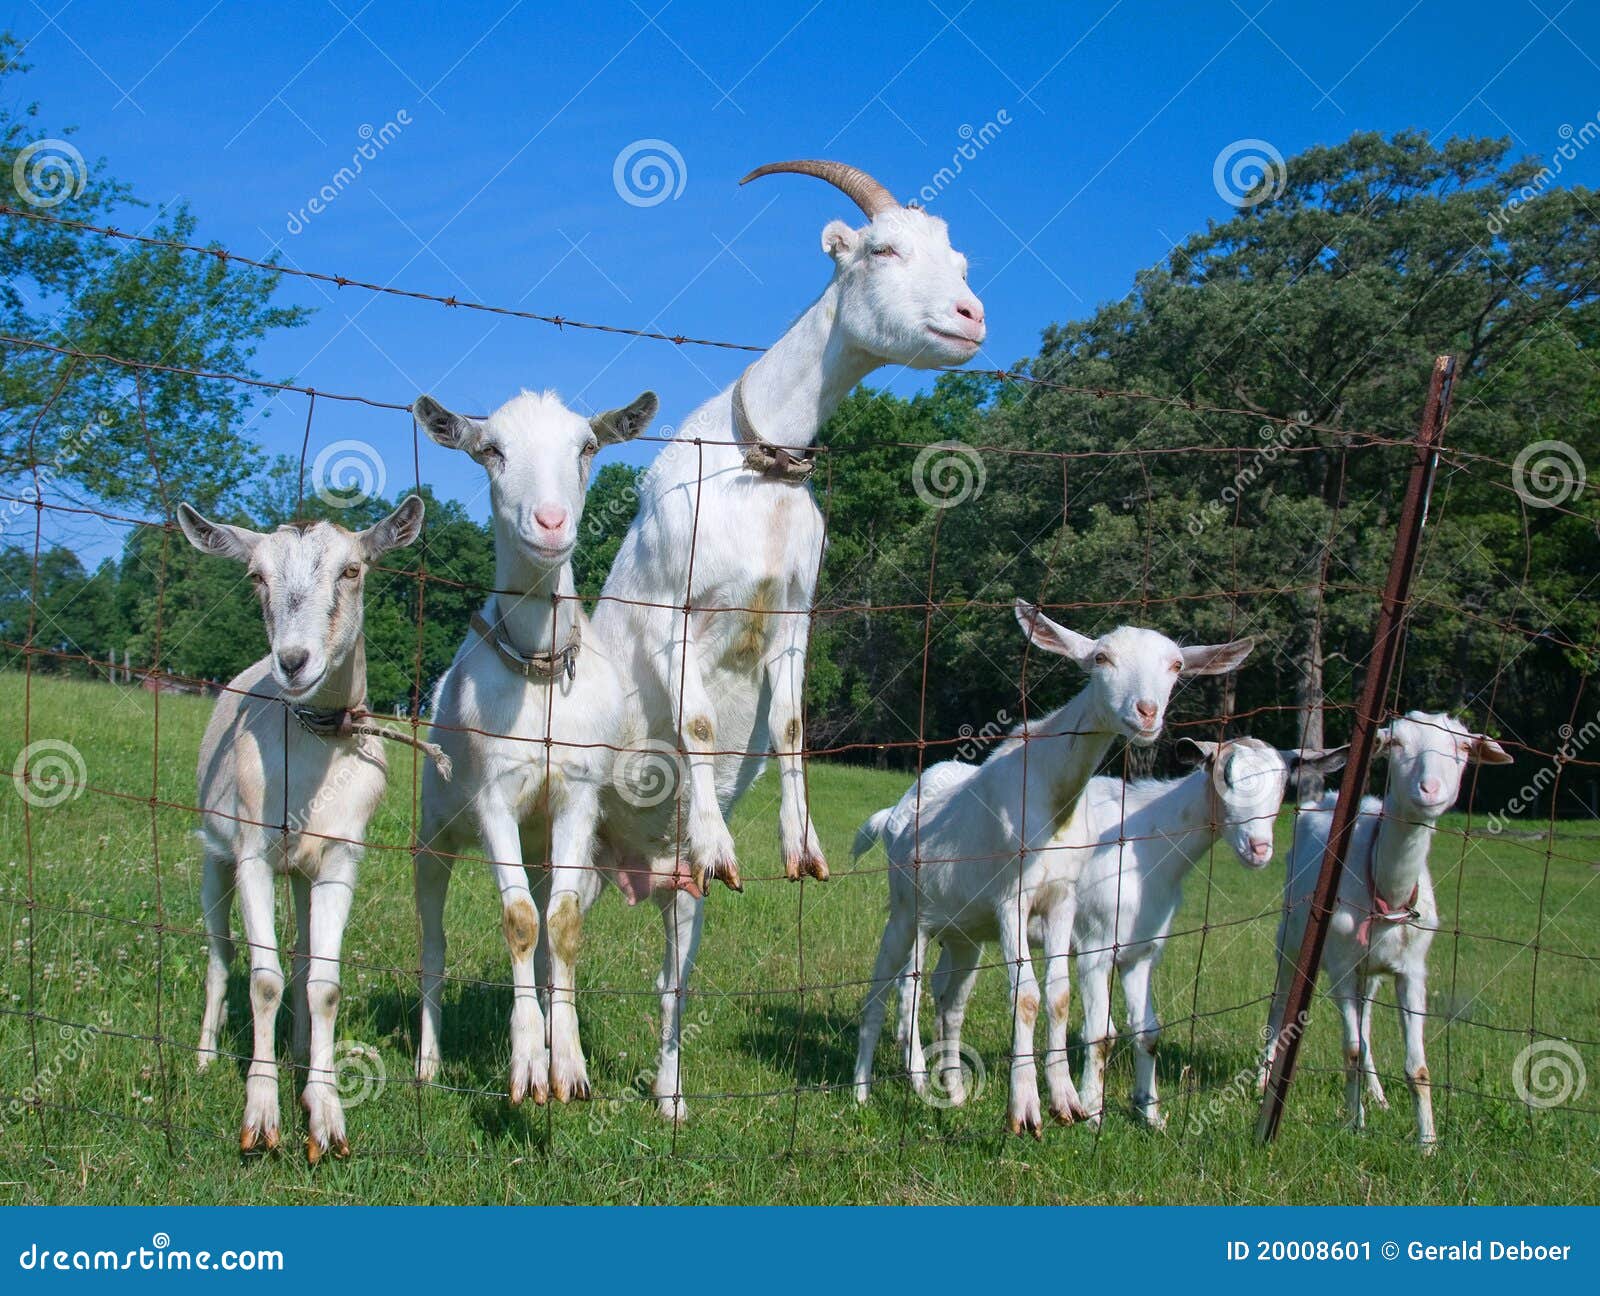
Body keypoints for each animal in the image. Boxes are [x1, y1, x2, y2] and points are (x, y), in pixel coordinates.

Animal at [183, 495, 427, 1161]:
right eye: (256, 577)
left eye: (353, 570)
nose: (293, 662)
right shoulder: (252, 852)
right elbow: (262, 980)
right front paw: (261, 1115)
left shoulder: (342, 857)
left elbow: (323, 983)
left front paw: (324, 1114)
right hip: (214, 856)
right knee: (221, 952)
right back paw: (206, 1056)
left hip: (301, 870)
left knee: (295, 954)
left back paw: (295, 1050)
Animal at [411, 388, 656, 1109]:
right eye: (489, 449)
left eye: (587, 447)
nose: (550, 522)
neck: (542, 672)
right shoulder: (494, 797)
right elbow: (519, 919)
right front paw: (526, 1063)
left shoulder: (576, 795)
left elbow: (562, 926)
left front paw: (567, 1063)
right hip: (434, 830)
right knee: (432, 942)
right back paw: (428, 1062)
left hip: (546, 842)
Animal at [850, 600, 1253, 1135]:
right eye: (1101, 657)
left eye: (1176, 665)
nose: (1147, 713)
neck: (1053, 794)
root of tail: (893, 815)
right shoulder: (1012, 901)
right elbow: (1025, 995)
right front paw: (1025, 1108)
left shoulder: (1063, 898)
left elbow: (1059, 994)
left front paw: (1067, 1100)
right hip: (906, 911)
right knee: (890, 991)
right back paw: (864, 1092)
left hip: (963, 932)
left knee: (950, 1000)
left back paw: (952, 1089)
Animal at [1259, 711, 1511, 1149]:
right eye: (1395, 743)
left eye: (1463, 746)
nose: (1430, 789)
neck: (1388, 896)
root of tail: (1326, 797)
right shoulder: (1342, 966)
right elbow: (1350, 1051)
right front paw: (1354, 1125)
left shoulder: (1412, 970)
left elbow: (1417, 1065)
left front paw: (1427, 1143)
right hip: (1291, 940)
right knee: (1282, 1002)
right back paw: (1264, 1079)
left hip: (1372, 972)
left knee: (1367, 1021)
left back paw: (1378, 1096)